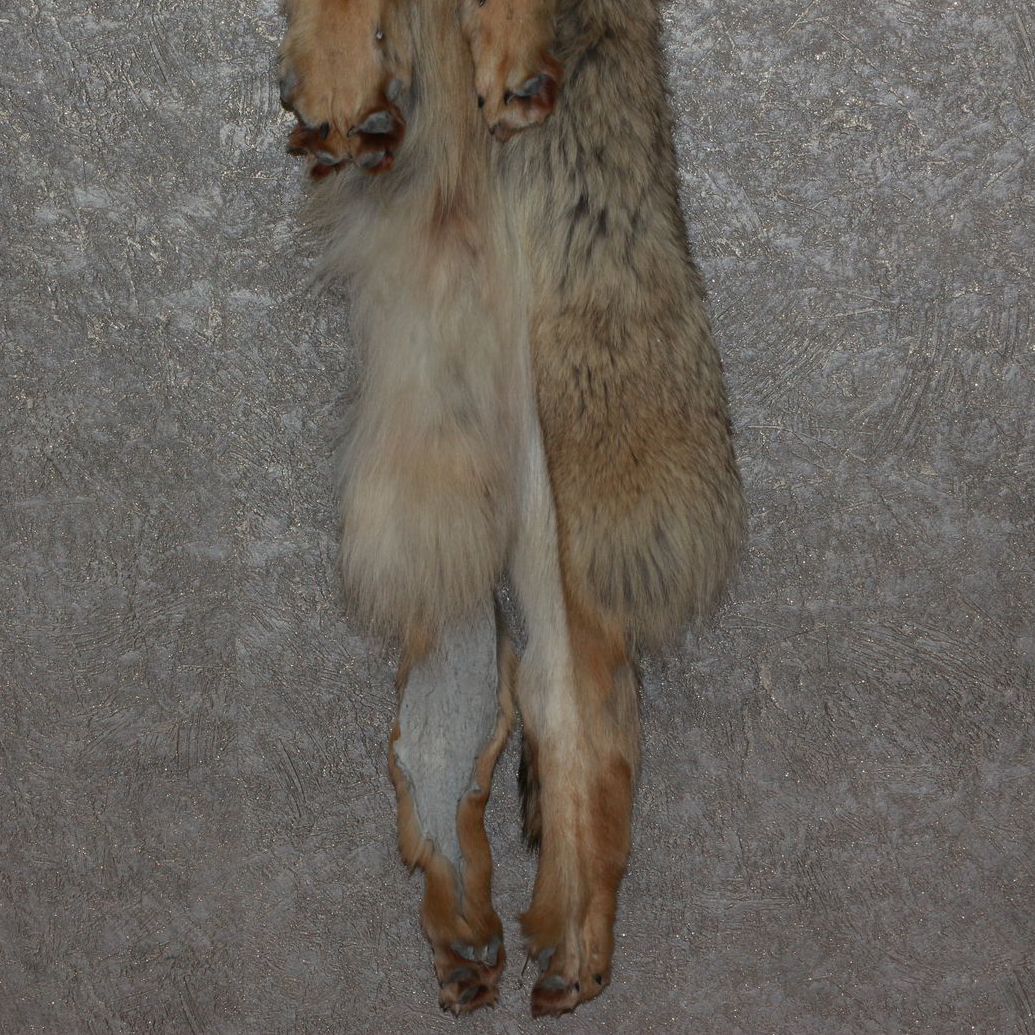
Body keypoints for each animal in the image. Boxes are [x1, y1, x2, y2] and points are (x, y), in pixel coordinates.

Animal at [277, 0, 745, 1015]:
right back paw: (496, 953)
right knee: (470, 756)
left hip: (552, 531)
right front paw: (339, 95)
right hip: (463, 564)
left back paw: (565, 954)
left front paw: (482, 72)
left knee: (582, 747)